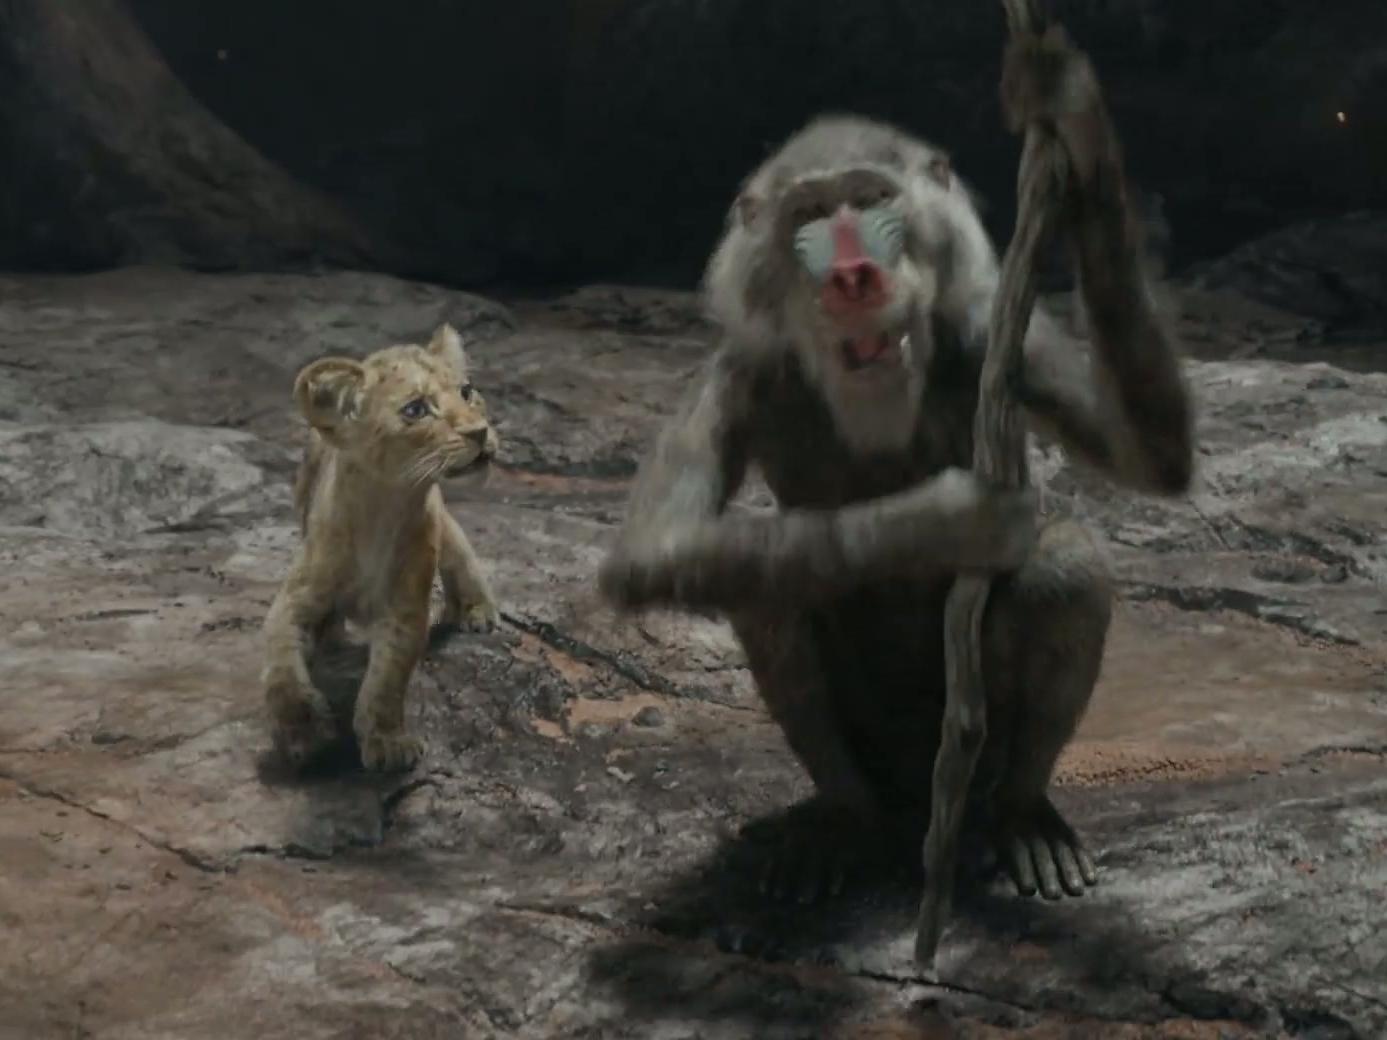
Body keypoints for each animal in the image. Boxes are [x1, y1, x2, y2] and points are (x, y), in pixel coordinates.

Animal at [262, 323, 501, 773]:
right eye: (416, 409)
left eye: (467, 391)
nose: (479, 432)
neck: (384, 505)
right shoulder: (294, 599)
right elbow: (282, 666)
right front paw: (304, 734)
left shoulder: (404, 608)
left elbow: (387, 678)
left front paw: (388, 741)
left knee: (458, 546)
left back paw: (477, 609)